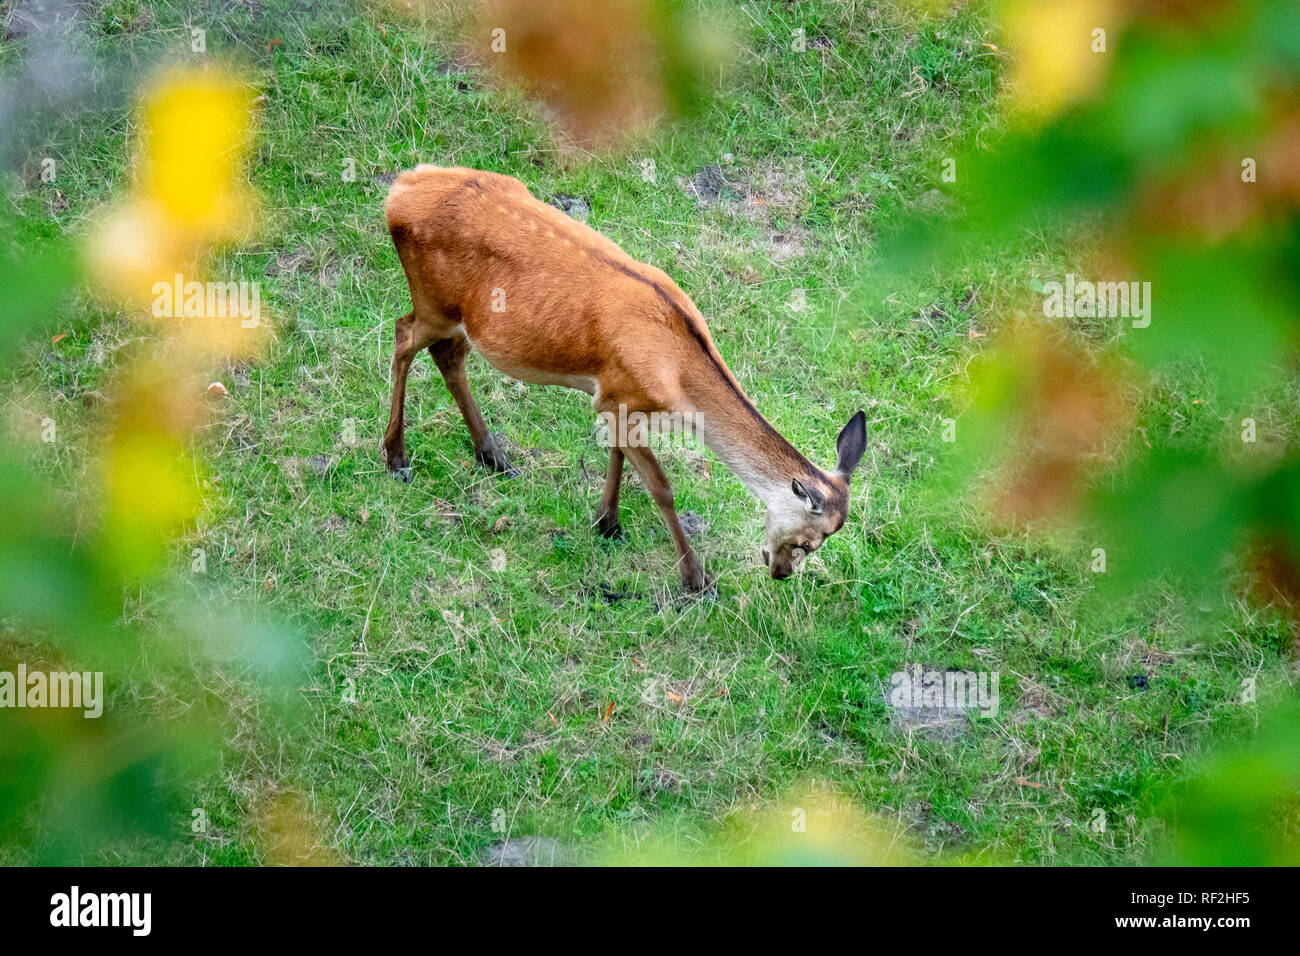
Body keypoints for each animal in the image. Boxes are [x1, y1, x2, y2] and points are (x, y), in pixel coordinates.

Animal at [382, 165, 867, 591]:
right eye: (808, 541)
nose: (780, 573)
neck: (676, 376)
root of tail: (399, 191)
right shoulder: (617, 397)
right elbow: (662, 487)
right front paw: (696, 579)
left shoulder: (618, 398)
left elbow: (617, 455)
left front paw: (606, 522)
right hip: (434, 303)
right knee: (403, 337)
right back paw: (397, 458)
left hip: (462, 322)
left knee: (448, 356)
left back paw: (493, 456)